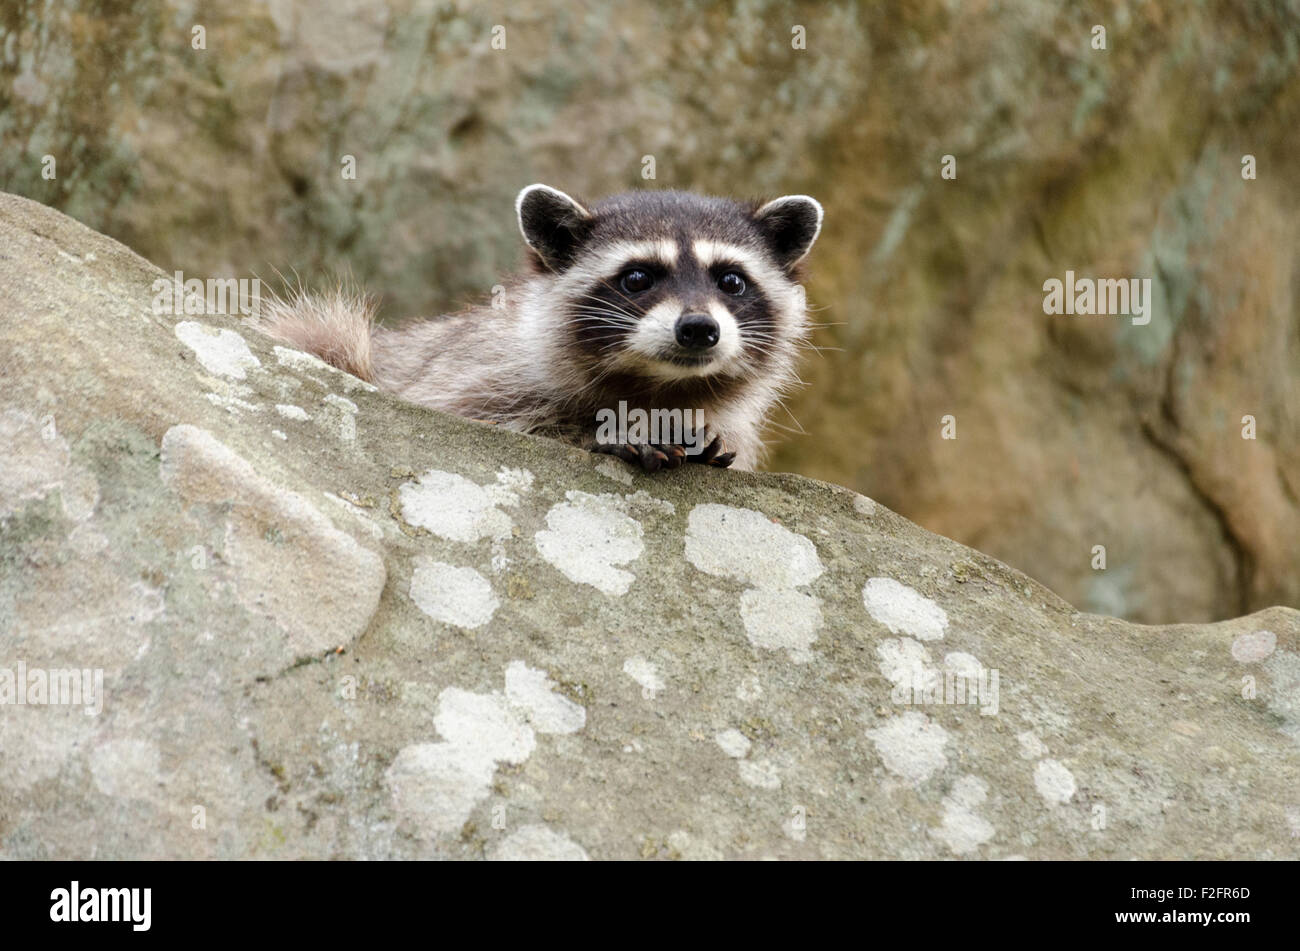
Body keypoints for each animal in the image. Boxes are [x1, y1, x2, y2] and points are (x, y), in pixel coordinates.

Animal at [259, 185, 822, 471]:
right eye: (637, 278)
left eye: (731, 281)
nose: (699, 328)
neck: (659, 385)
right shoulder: (475, 373)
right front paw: (605, 432)